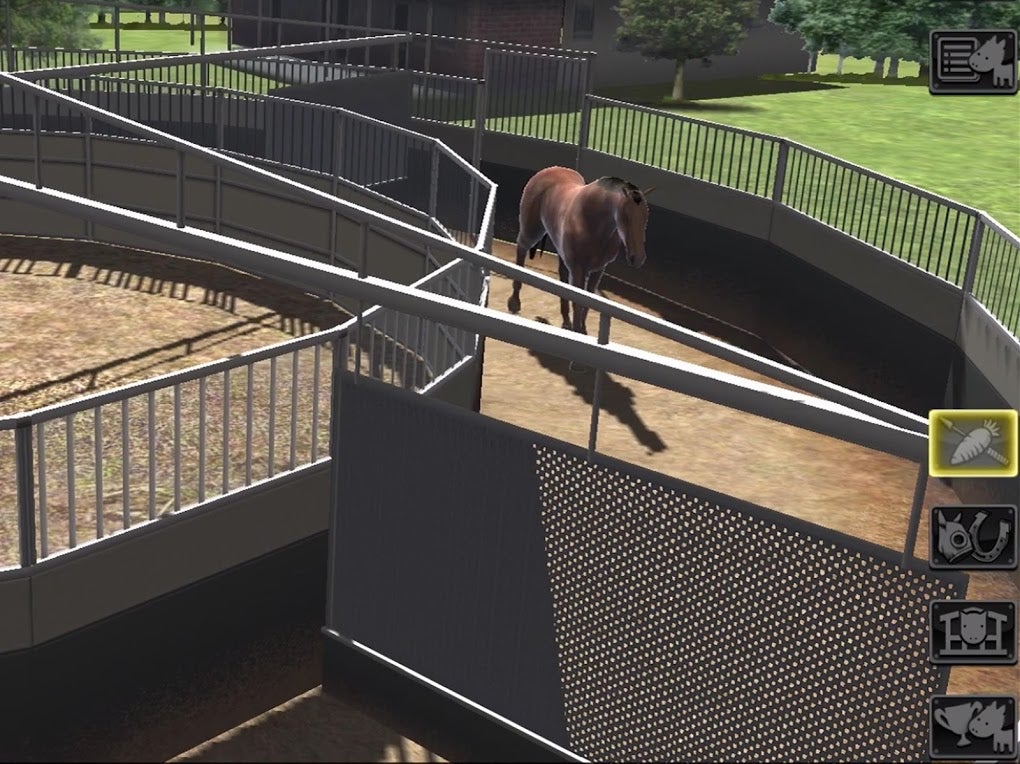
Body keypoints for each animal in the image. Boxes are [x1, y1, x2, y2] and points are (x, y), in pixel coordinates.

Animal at [507, 166, 653, 341]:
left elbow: (588, 299)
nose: (637, 258)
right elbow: (579, 301)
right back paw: (514, 303)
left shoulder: (598, 269)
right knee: (521, 251)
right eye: (626, 216)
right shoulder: (578, 269)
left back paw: (565, 321)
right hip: (531, 231)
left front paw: (582, 330)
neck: (591, 221)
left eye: (646, 216)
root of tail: (548, 170)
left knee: (562, 276)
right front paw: (578, 332)